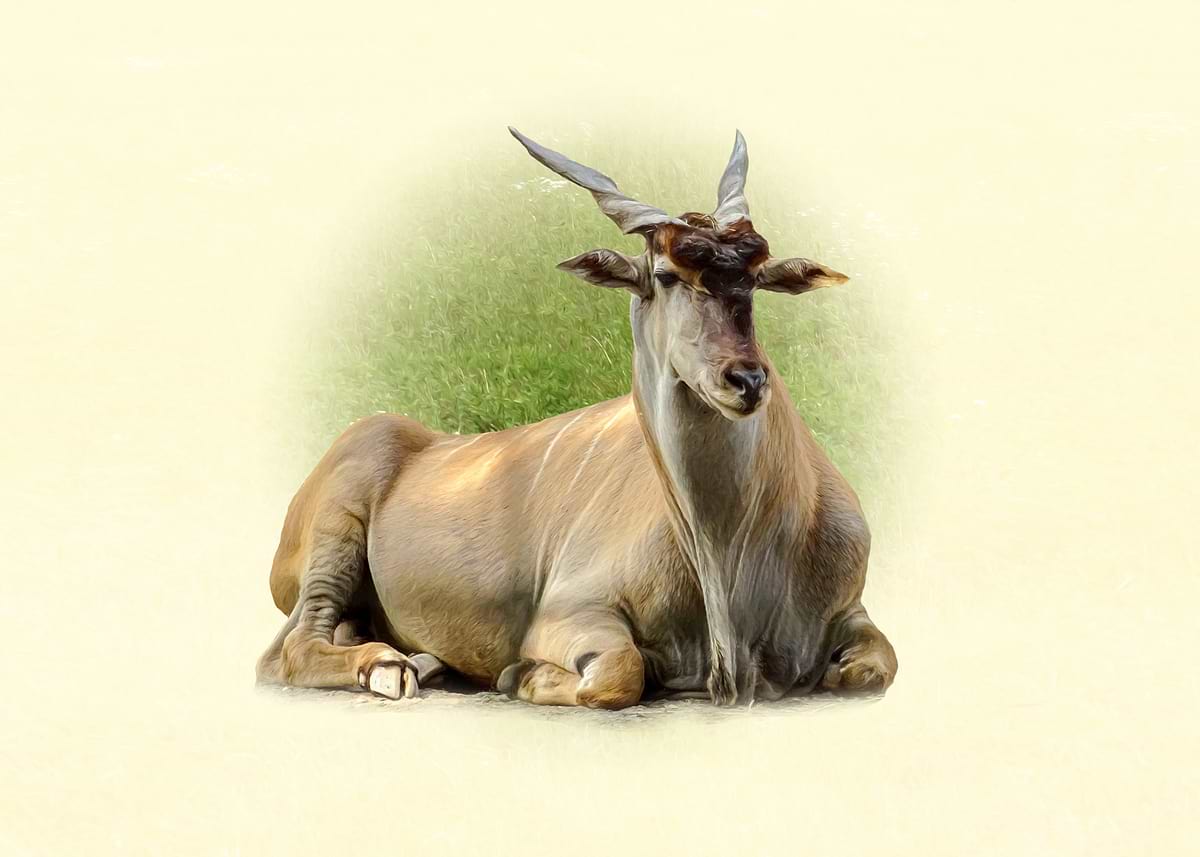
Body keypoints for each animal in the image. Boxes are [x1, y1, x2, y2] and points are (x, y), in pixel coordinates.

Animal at [255, 128, 897, 708]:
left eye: (757, 280)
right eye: (665, 275)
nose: (746, 380)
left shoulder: (852, 611)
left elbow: (874, 667)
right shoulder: (571, 612)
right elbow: (619, 673)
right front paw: (521, 676)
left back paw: (427, 662)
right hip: (332, 537)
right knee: (287, 651)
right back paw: (389, 668)